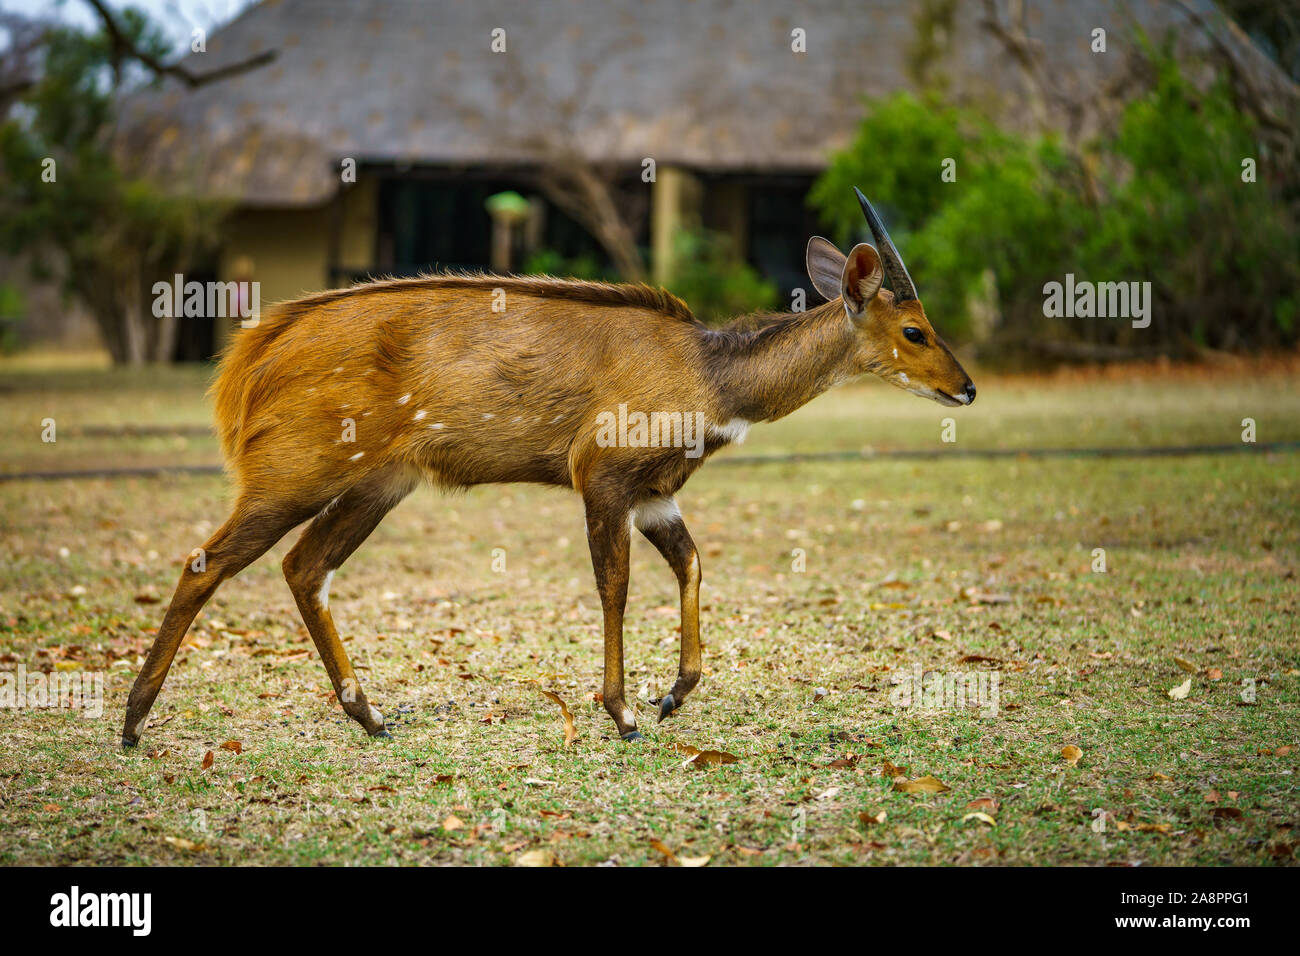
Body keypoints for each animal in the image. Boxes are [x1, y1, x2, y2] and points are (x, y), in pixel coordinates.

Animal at [121, 189, 975, 747]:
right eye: (915, 330)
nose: (966, 388)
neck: (710, 374)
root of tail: (255, 353)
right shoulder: (601, 475)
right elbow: (615, 585)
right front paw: (623, 714)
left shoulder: (654, 495)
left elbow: (692, 565)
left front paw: (672, 696)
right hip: (292, 476)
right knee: (207, 562)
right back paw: (132, 721)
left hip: (378, 484)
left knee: (303, 567)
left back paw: (371, 715)